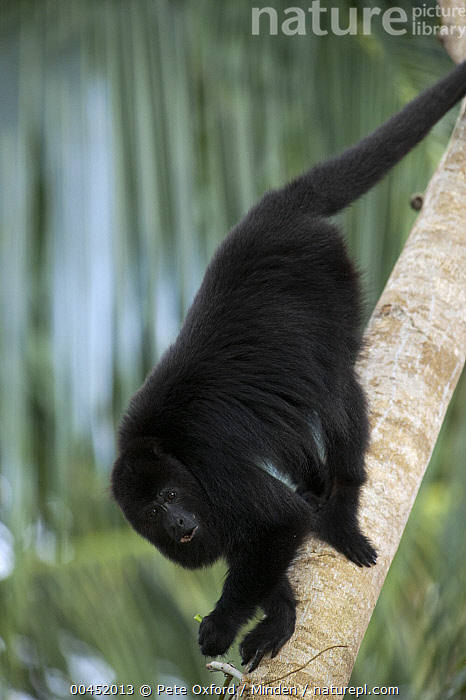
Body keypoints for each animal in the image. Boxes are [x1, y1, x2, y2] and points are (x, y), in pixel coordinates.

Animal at [111, 60, 466, 671]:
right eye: (152, 512)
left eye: (171, 497)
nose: (177, 524)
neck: (170, 451)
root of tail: (274, 210)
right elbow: (255, 549)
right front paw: (279, 615)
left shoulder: (213, 465)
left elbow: (279, 523)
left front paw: (224, 623)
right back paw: (314, 482)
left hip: (328, 275)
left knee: (336, 388)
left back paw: (340, 502)